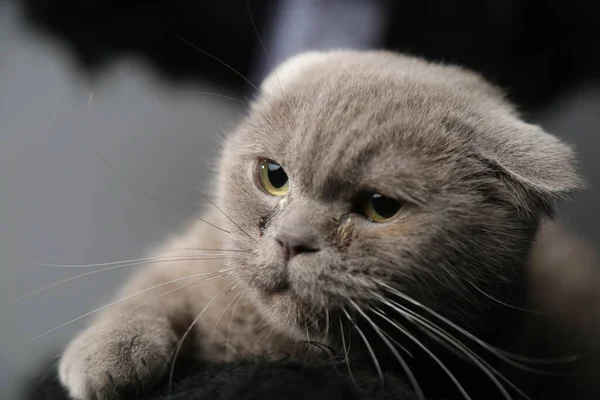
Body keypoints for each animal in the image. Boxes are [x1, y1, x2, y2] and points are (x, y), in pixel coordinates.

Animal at [56, 50, 592, 400]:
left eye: (380, 207)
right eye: (273, 176)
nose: (291, 241)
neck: (267, 343)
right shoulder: (192, 251)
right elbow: (152, 286)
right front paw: (105, 357)